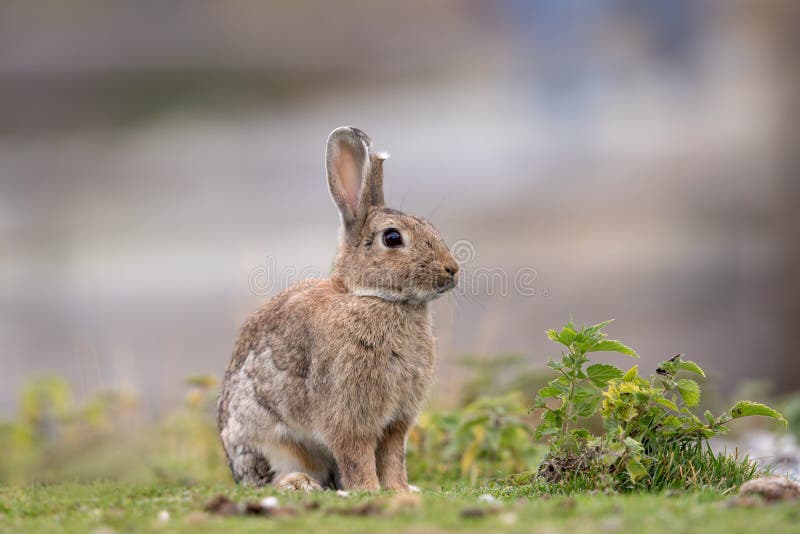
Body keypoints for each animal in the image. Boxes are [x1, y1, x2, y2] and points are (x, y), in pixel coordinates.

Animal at [217, 126, 459, 492]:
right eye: (392, 238)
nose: (452, 270)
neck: (373, 297)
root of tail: (234, 469)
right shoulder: (347, 416)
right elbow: (356, 455)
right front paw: (369, 490)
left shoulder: (396, 422)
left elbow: (393, 458)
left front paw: (400, 489)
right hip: (268, 443)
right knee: (270, 477)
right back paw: (298, 484)